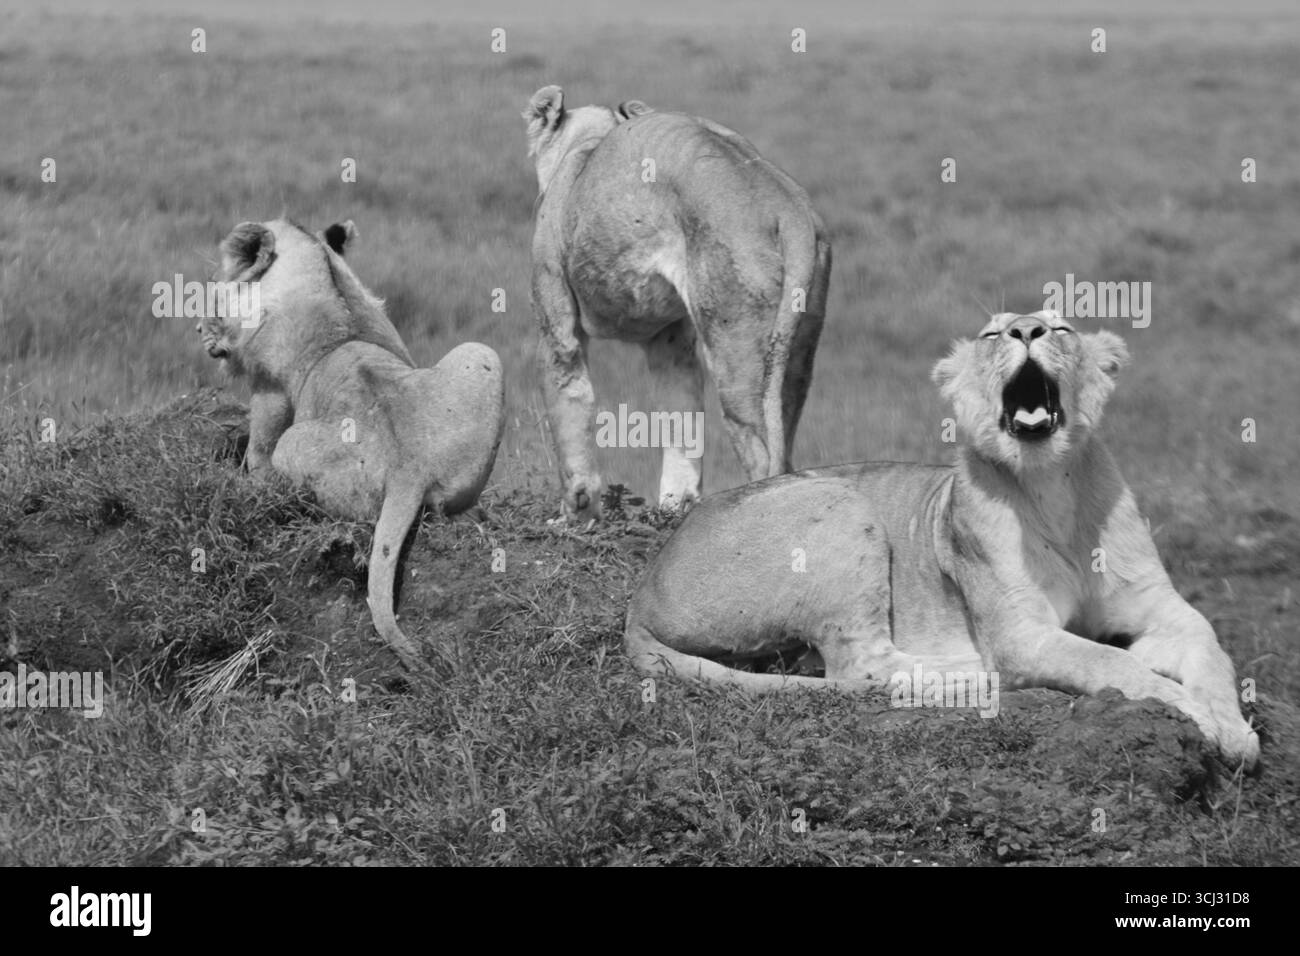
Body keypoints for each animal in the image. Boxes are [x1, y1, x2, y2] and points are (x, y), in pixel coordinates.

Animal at [199, 218, 506, 670]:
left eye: (216, 300)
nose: (199, 331)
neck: (322, 269)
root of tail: (409, 469)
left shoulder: (270, 388)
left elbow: (258, 449)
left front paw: (249, 482)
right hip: (481, 354)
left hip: (294, 445)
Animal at [523, 86, 832, 520]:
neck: (585, 147)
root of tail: (789, 208)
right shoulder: (670, 339)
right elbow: (679, 417)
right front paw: (675, 506)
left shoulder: (557, 326)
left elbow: (569, 410)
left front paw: (574, 514)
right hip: (795, 351)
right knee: (785, 444)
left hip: (737, 349)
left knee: (760, 453)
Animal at [624, 311, 1260, 768]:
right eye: (993, 333)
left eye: (1059, 328)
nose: (1026, 330)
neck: (1050, 484)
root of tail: (642, 591)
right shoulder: (1019, 635)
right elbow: (1110, 661)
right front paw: (1194, 713)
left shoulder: (1162, 609)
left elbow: (1211, 651)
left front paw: (1233, 727)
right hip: (841, 503)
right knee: (859, 667)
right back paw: (976, 674)